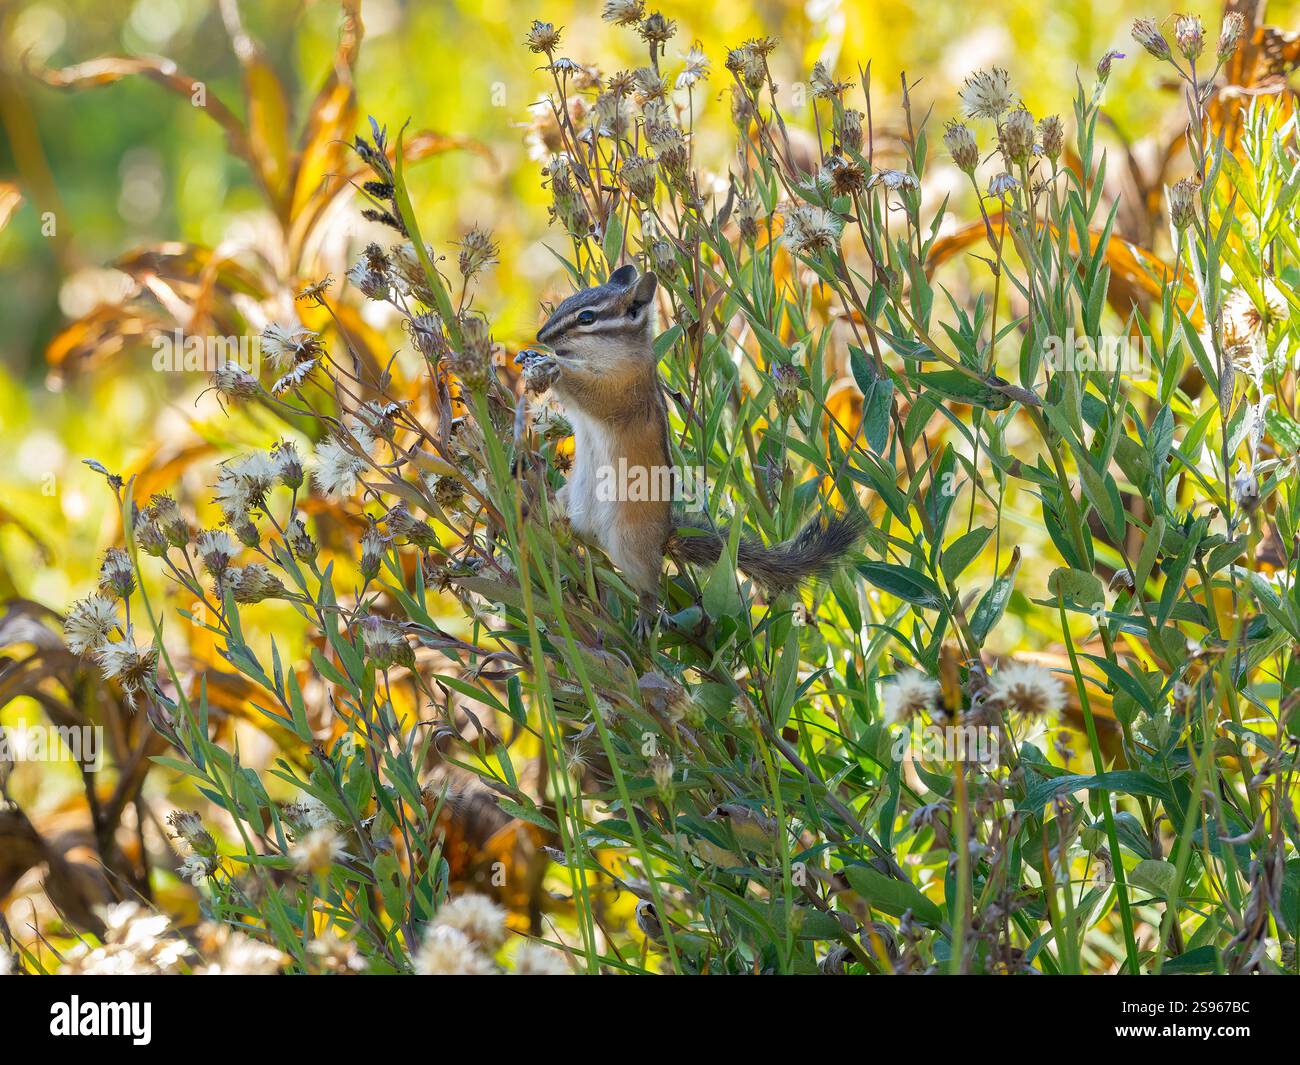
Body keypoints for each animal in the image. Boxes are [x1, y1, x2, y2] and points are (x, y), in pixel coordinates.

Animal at [523, 264, 863, 635]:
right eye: (565, 302)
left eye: (586, 317)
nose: (540, 336)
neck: (616, 356)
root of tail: (665, 536)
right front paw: (531, 358)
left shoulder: (624, 389)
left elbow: (591, 394)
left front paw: (553, 366)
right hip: (569, 503)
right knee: (581, 539)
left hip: (630, 540)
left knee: (649, 582)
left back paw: (645, 616)